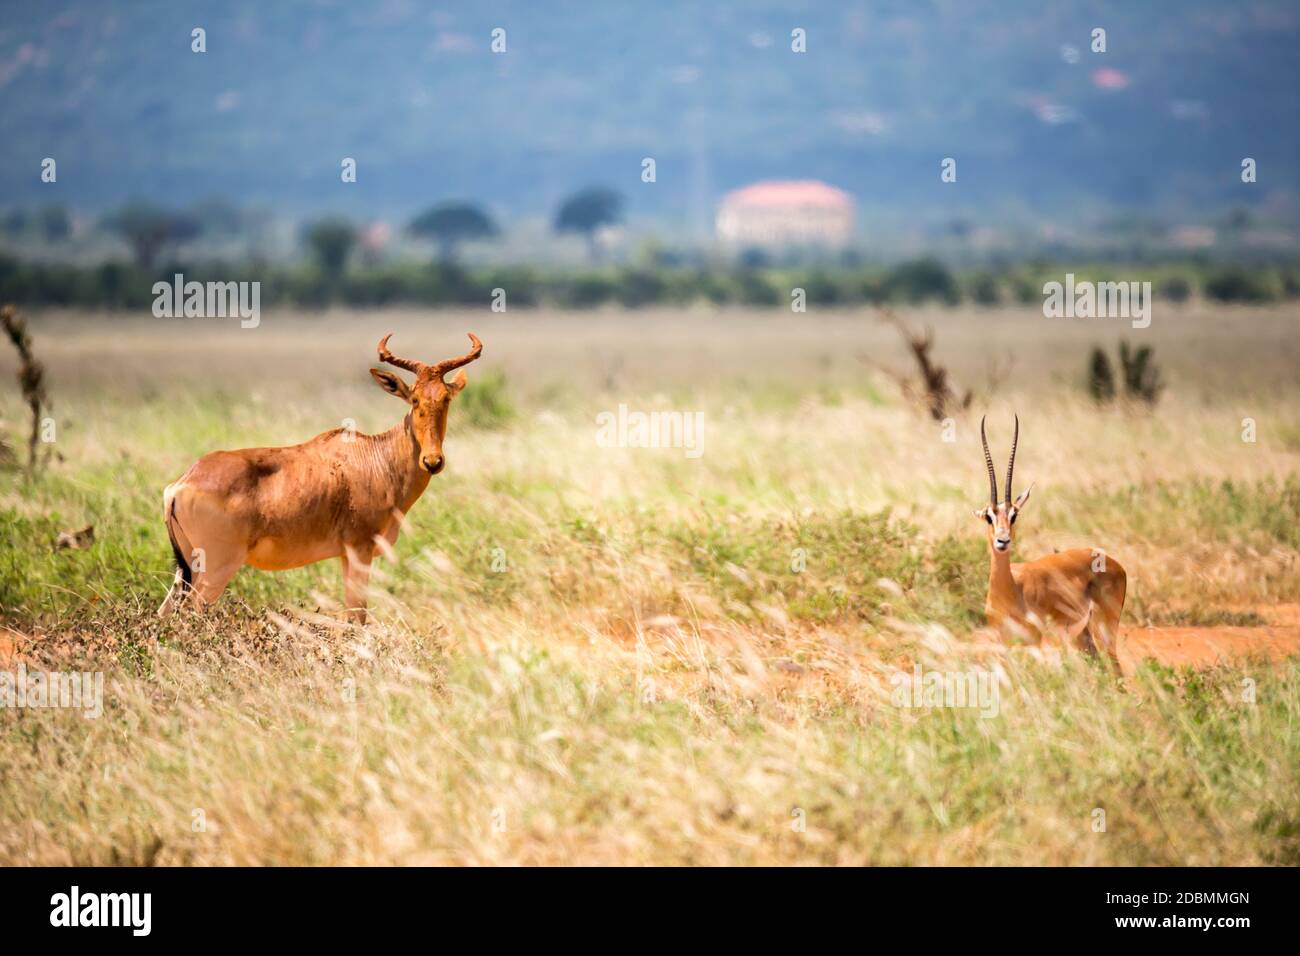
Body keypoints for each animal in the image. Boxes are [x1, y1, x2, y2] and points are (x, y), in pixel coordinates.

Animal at [157, 332, 483, 623]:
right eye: (414, 399)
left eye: (445, 398)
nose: (432, 461)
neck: (374, 456)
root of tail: (179, 485)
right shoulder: (359, 550)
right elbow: (357, 616)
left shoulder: (346, 556)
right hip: (216, 567)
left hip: (187, 567)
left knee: (166, 612)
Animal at [975, 416, 1127, 669]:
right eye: (989, 516)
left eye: (1014, 515)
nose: (1002, 540)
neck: (1011, 590)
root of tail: (1116, 564)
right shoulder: (1004, 643)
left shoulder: (1035, 642)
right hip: (1082, 636)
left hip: (1104, 631)